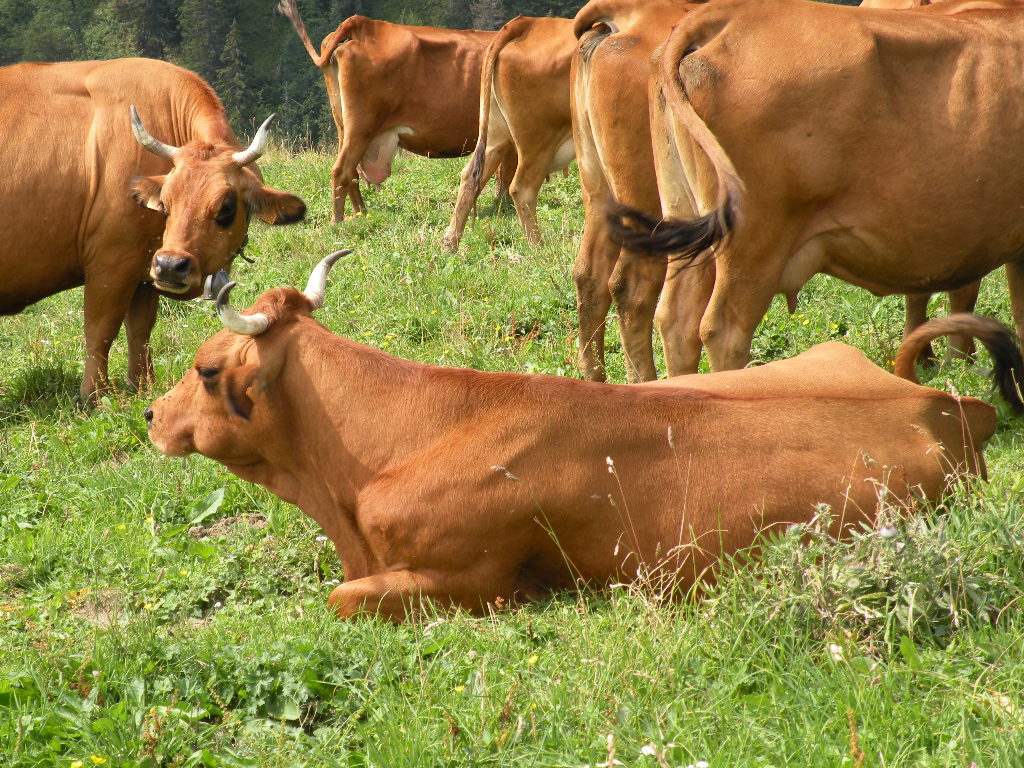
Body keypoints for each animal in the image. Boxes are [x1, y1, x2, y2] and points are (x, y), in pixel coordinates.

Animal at [0, 58, 306, 400]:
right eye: (166, 202)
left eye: (226, 207)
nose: (172, 265)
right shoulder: (111, 263)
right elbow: (100, 330)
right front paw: (95, 395)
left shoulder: (145, 269)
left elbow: (140, 329)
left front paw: (143, 387)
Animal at [277, 0, 515, 224]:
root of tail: (364, 23)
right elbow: (507, 174)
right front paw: (505, 207)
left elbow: (503, 174)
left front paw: (502, 204)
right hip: (361, 127)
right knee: (341, 170)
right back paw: (338, 221)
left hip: (343, 126)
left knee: (352, 172)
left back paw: (361, 214)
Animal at [442, 16, 576, 251]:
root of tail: (527, 22)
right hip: (538, 139)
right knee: (522, 189)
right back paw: (539, 248)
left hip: (495, 135)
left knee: (470, 177)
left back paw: (450, 244)